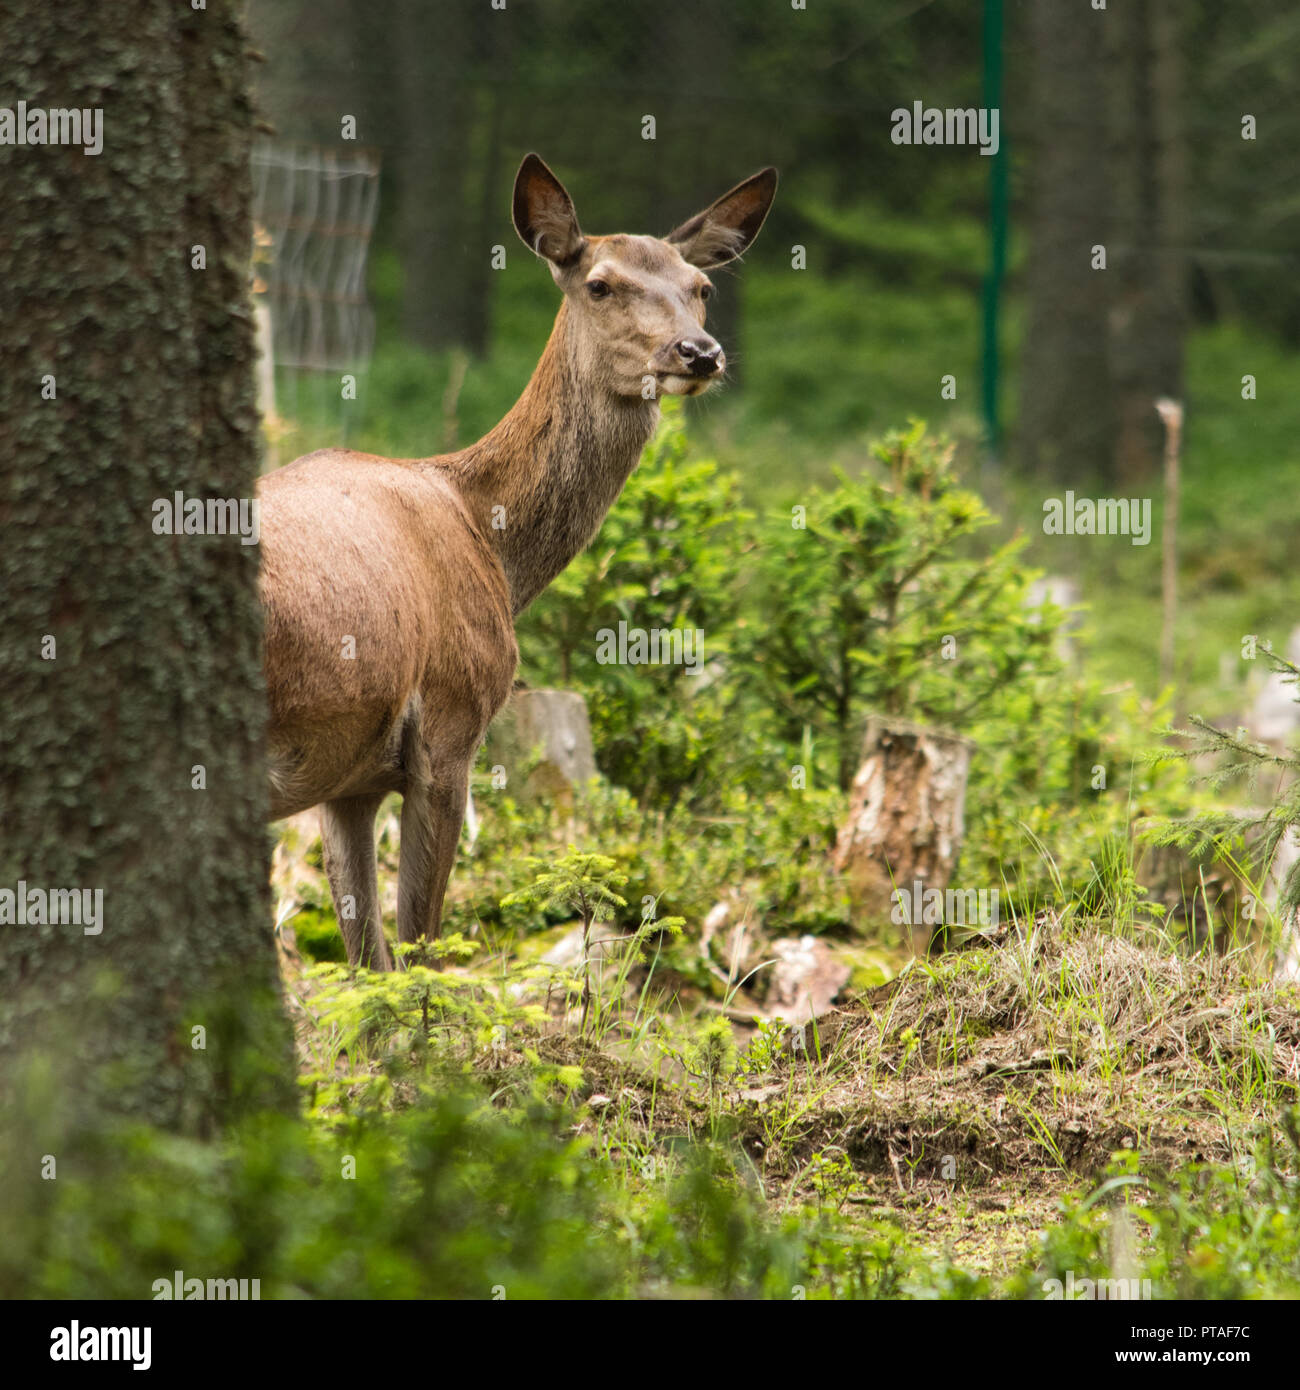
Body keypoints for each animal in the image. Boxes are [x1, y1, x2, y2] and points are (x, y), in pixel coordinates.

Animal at [258, 154, 777, 969]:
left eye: (701, 288)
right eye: (599, 283)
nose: (699, 352)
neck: (493, 542)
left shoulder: (348, 777)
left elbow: (365, 956)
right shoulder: (451, 721)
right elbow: (420, 946)